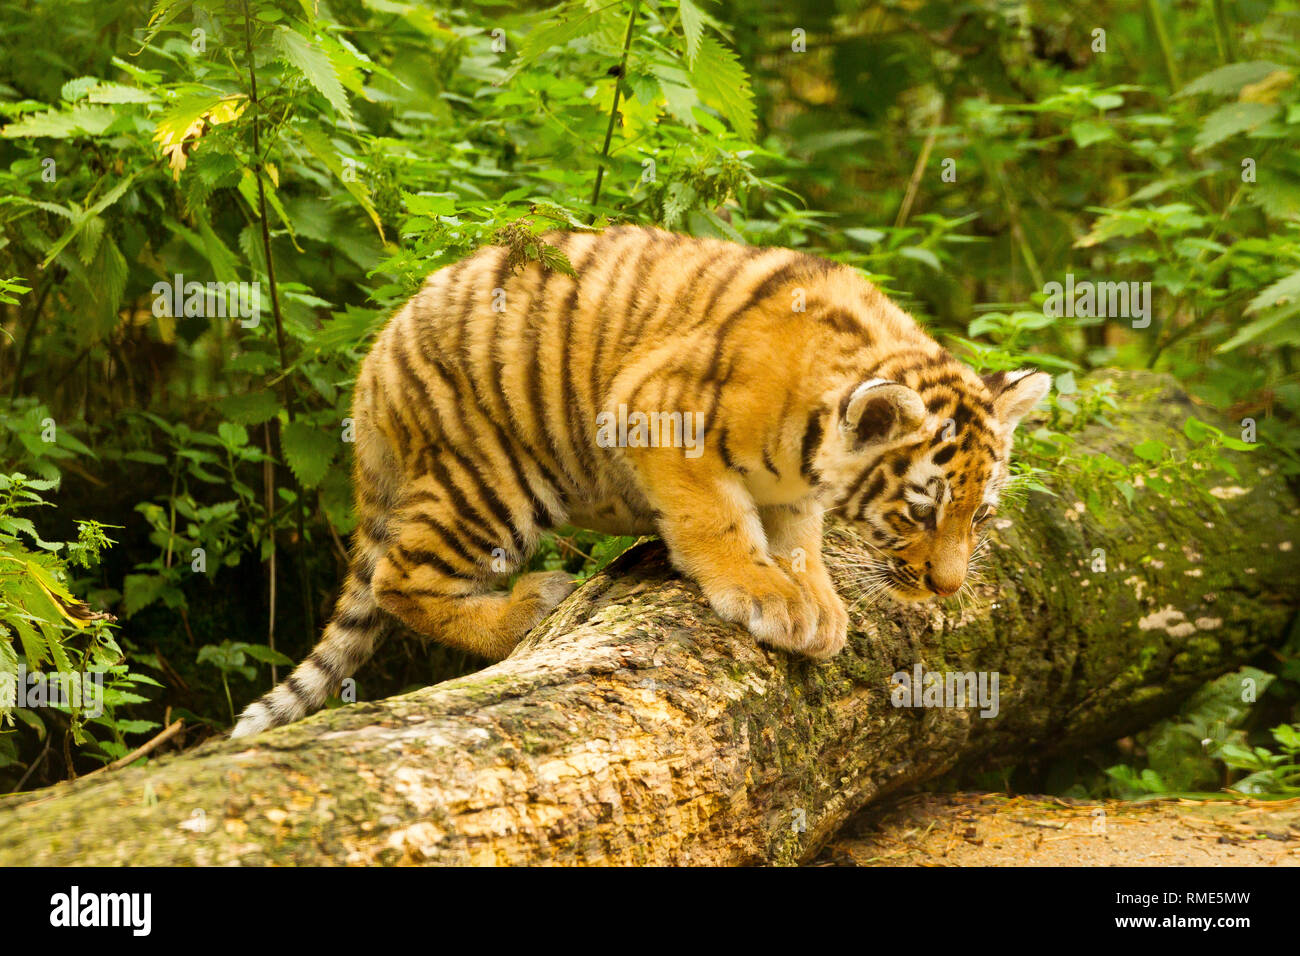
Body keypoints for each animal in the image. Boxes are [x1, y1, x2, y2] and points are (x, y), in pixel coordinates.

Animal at [231, 225, 1049, 738]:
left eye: (979, 518)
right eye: (920, 514)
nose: (947, 588)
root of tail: (372, 368)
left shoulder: (794, 487)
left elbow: (799, 538)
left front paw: (814, 599)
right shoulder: (652, 411)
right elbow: (717, 519)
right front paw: (767, 597)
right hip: (490, 479)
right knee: (400, 577)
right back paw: (530, 605)